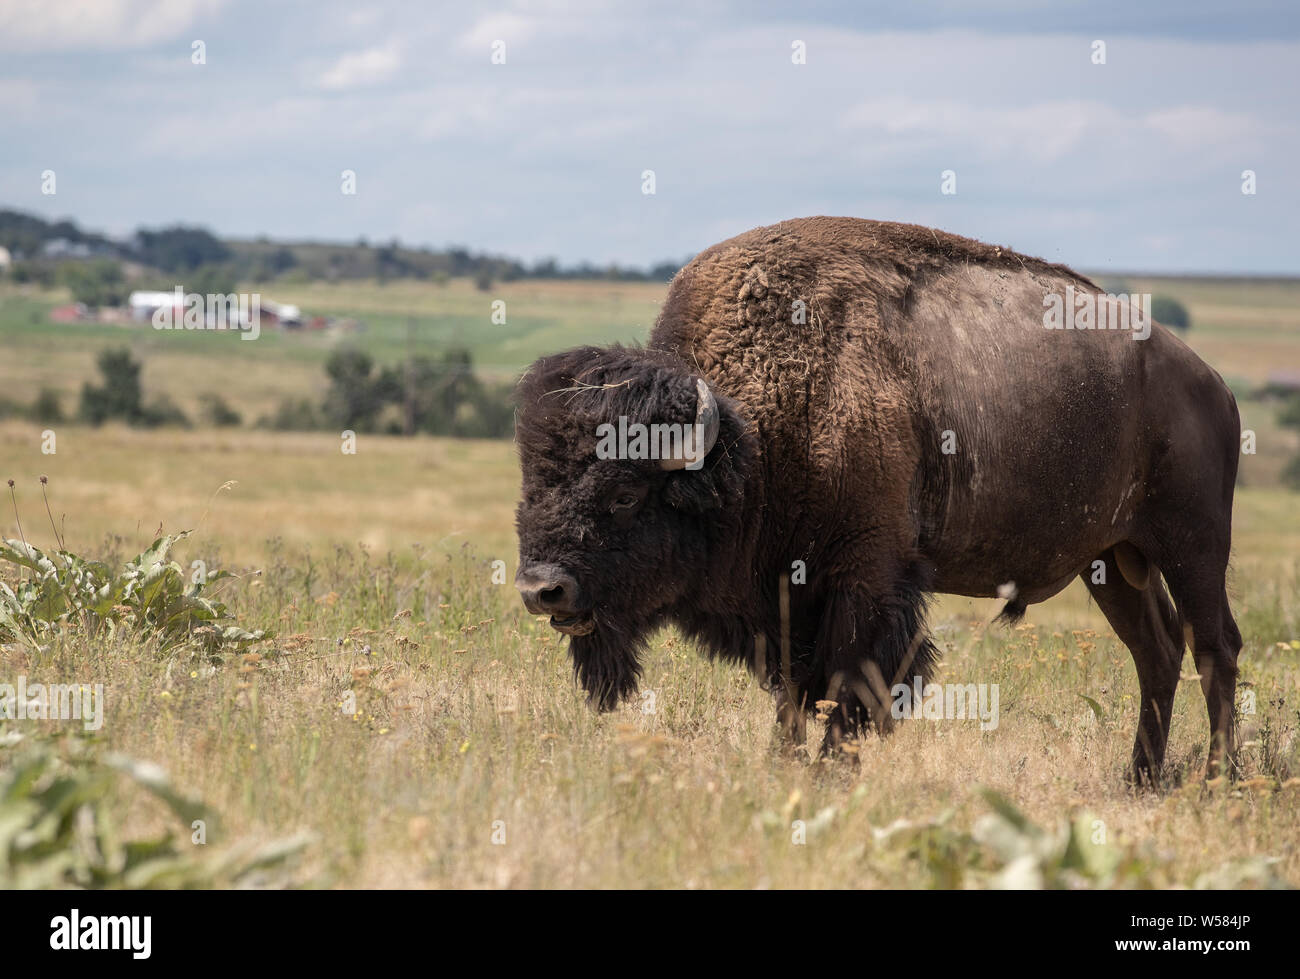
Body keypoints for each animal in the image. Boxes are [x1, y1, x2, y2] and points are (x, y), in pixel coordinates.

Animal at [513, 217, 1242, 783]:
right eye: (532, 482)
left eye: (627, 492)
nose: (542, 588)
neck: (749, 438)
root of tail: (1210, 381)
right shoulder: (787, 600)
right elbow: (793, 694)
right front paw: (781, 768)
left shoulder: (866, 581)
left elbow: (849, 689)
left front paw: (827, 776)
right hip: (1112, 559)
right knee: (1156, 650)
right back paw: (1140, 779)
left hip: (1193, 544)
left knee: (1214, 646)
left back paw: (1218, 779)